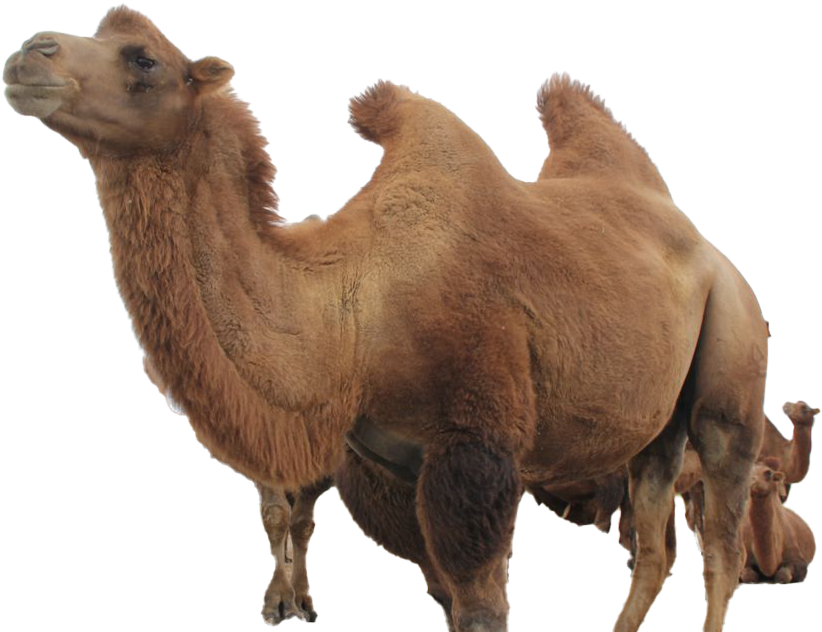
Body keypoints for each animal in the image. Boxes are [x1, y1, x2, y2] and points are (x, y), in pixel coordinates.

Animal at [3, 6, 775, 631]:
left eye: (144, 60)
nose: (28, 55)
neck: (354, 312)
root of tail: (708, 244)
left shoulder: (476, 447)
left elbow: (482, 607)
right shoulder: (393, 468)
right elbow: (442, 593)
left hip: (731, 361)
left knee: (721, 536)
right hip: (654, 426)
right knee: (655, 538)